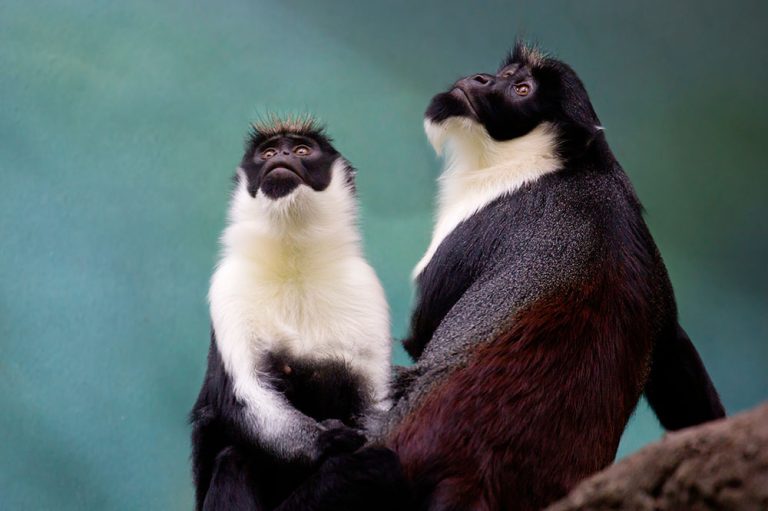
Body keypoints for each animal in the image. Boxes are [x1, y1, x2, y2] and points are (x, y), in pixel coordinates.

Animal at [189, 115, 393, 511]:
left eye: (301, 149)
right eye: (268, 153)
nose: (282, 156)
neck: (294, 261)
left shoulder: (366, 289)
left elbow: (374, 404)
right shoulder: (229, 288)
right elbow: (245, 394)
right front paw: (329, 443)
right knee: (235, 458)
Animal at [274, 42, 726, 511]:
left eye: (522, 89)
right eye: (508, 73)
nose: (482, 79)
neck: (565, 165)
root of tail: (472, 475)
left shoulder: (470, 231)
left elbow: (420, 333)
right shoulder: (650, 265)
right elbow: (676, 353)